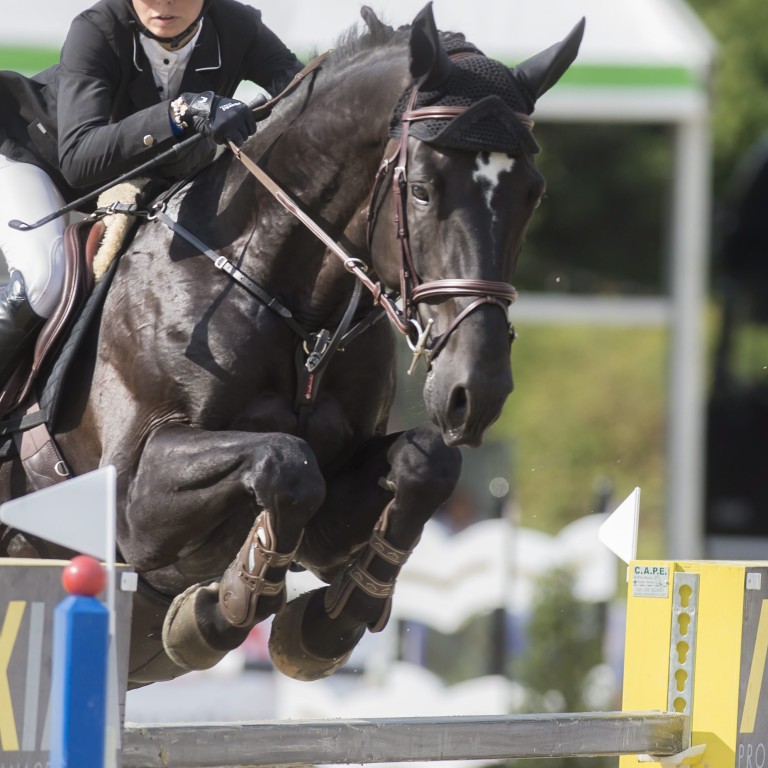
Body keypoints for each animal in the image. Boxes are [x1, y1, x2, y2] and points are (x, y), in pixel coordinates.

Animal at [0, 3, 583, 688]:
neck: (294, 306)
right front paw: (217, 611)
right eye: (422, 189)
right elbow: (287, 464)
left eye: (531, 195)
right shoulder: (132, 500)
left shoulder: (339, 501)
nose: (478, 390)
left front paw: (327, 624)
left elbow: (425, 465)